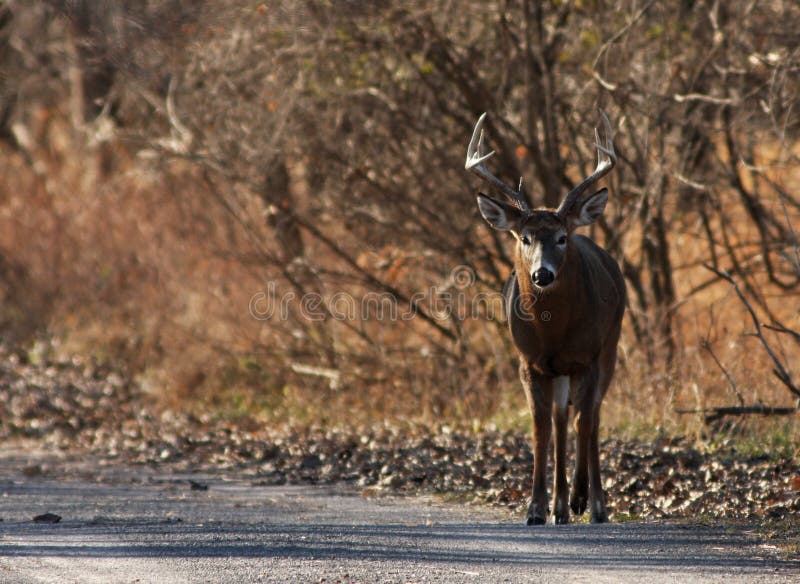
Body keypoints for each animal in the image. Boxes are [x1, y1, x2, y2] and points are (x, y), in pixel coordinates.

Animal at [465, 112, 625, 525]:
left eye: (562, 238)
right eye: (524, 238)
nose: (542, 274)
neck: (553, 331)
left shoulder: (588, 356)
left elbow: (586, 422)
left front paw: (593, 503)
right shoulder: (530, 361)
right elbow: (539, 428)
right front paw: (536, 508)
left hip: (610, 347)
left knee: (592, 416)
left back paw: (587, 502)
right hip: (560, 371)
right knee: (559, 419)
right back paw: (561, 506)